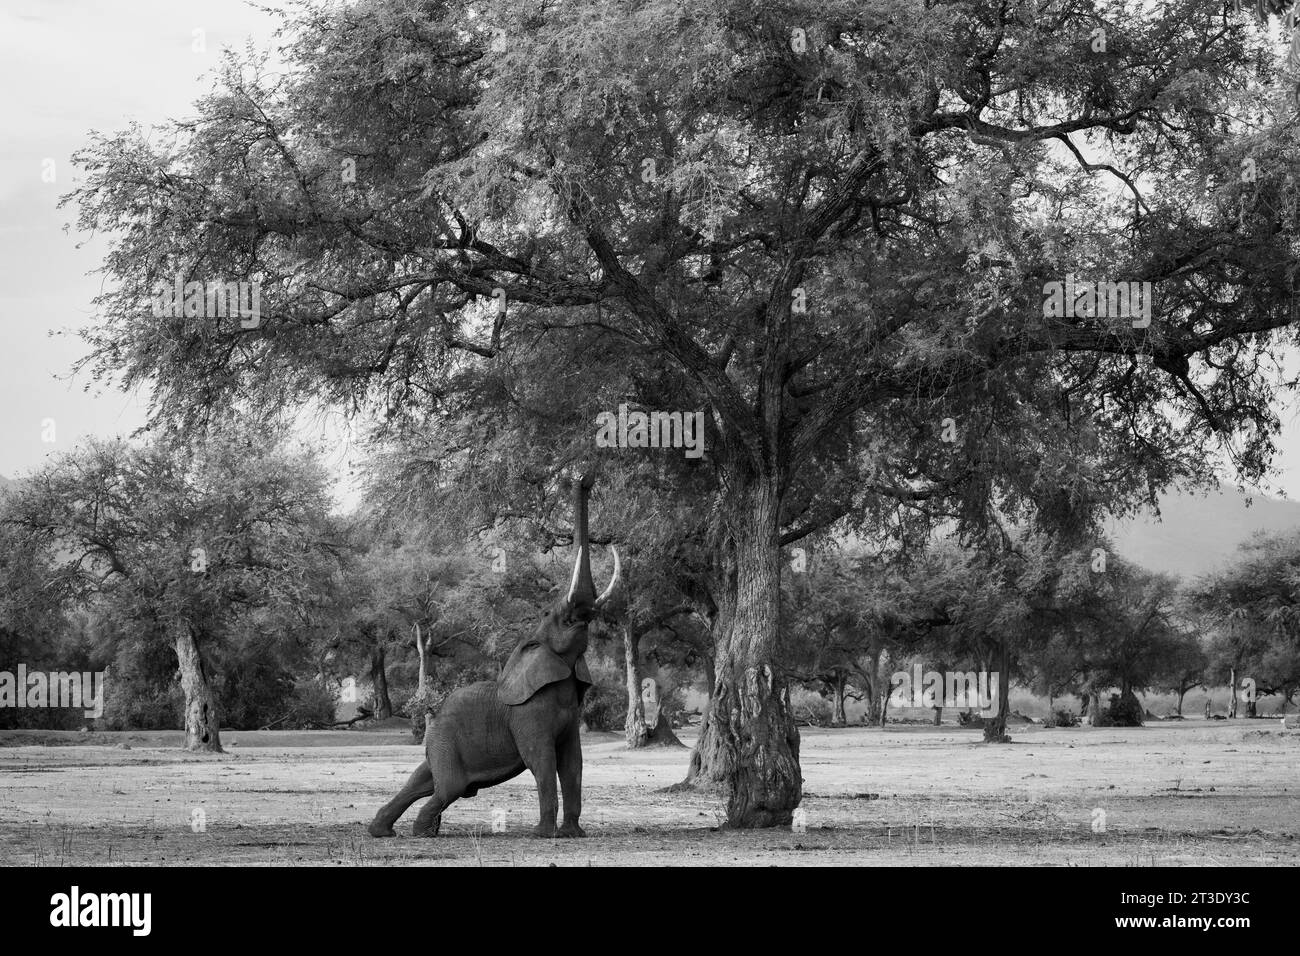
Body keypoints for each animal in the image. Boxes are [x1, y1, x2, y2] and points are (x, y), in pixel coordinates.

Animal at [367, 473, 619, 839]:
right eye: (549, 614)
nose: (583, 478)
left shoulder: (570, 715)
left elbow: (573, 762)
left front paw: (573, 835)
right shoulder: (527, 714)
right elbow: (542, 761)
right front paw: (543, 835)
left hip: (440, 743)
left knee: (423, 780)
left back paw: (384, 831)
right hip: (444, 741)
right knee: (447, 787)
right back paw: (422, 832)